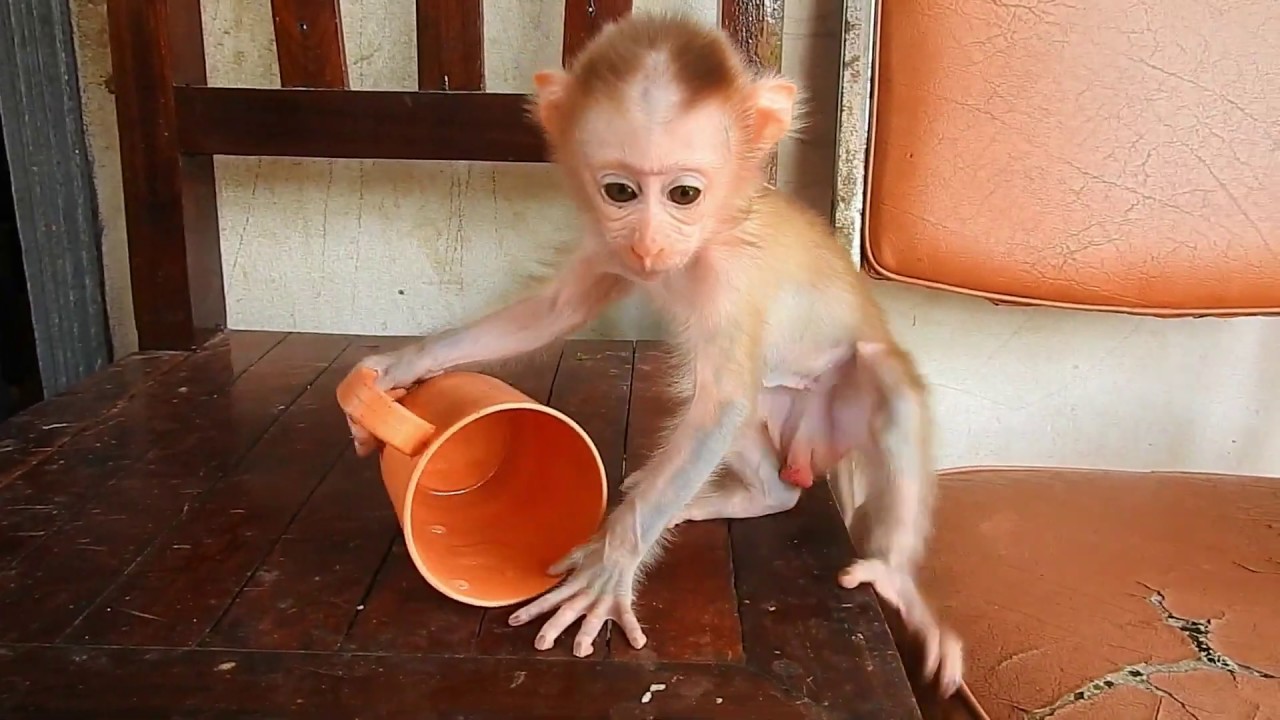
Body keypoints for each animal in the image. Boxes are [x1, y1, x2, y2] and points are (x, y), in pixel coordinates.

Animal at [346, 12, 963, 695]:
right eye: (620, 191)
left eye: (683, 195)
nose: (646, 242)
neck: (709, 235)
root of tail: (809, 452)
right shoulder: (607, 241)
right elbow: (558, 309)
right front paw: (399, 368)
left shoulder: (731, 276)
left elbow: (719, 408)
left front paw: (611, 563)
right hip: (783, 414)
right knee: (731, 407)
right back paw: (762, 496)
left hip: (842, 403)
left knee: (878, 388)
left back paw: (892, 577)